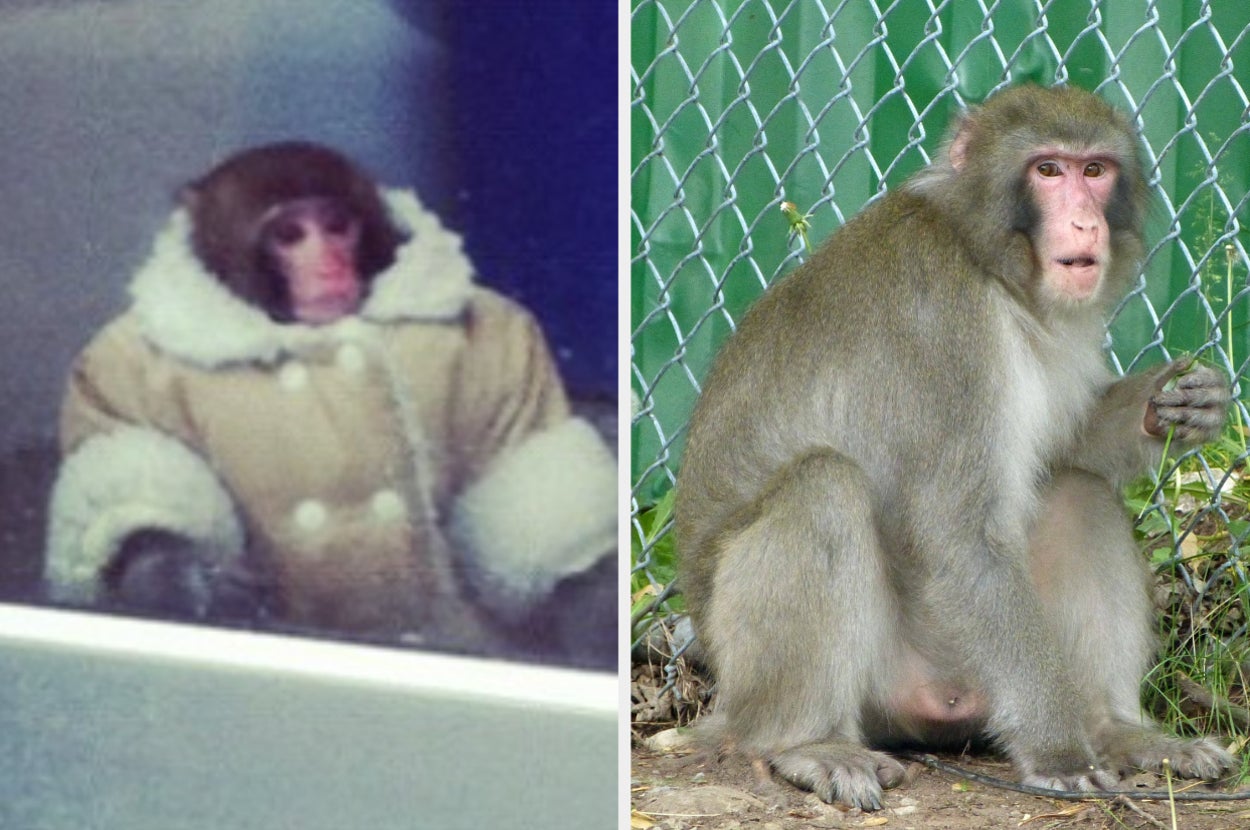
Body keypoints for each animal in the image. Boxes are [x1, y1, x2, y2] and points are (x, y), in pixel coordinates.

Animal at [45, 142, 618, 662]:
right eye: (290, 235)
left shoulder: (508, 349)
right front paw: (185, 582)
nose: (330, 268)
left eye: (338, 227)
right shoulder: (116, 365)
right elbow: (141, 481)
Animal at [674, 85, 1235, 810]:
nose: (1086, 224)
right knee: (825, 487)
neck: (987, 262)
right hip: (881, 683)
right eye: (1048, 170)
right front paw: (1058, 752)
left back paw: (1116, 730)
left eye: (1095, 170)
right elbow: (958, 537)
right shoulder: (941, 324)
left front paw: (1177, 405)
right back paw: (804, 742)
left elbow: (1067, 444)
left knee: (1075, 489)